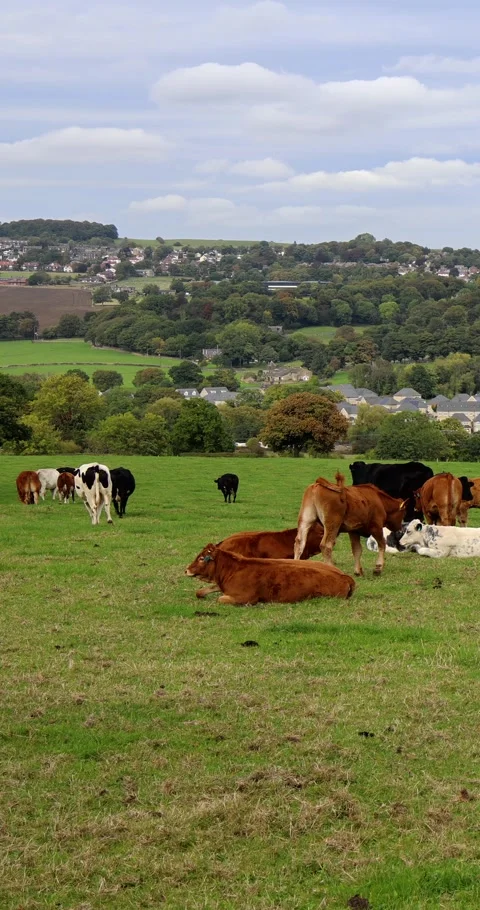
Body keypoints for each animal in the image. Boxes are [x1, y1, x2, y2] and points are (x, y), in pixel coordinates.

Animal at [185, 544, 355, 604]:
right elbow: (200, 592)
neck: (233, 569)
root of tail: (344, 576)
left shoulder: (245, 597)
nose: (186, 569)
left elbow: (220, 599)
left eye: (201, 558)